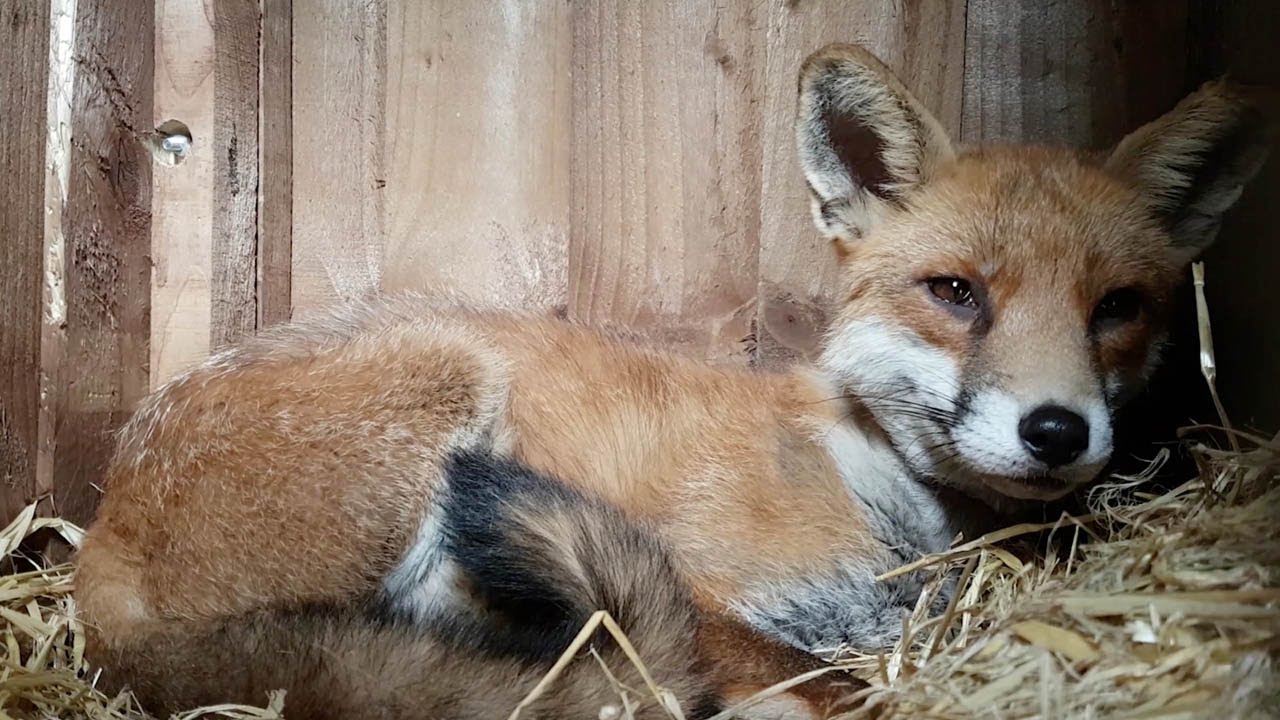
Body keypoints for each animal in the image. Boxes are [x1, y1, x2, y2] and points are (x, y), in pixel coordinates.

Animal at [72, 43, 1268, 720]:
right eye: (956, 292)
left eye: (1116, 309)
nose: (1056, 430)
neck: (893, 517)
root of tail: (99, 530)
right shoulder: (699, 584)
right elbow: (822, 683)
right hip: (445, 406)